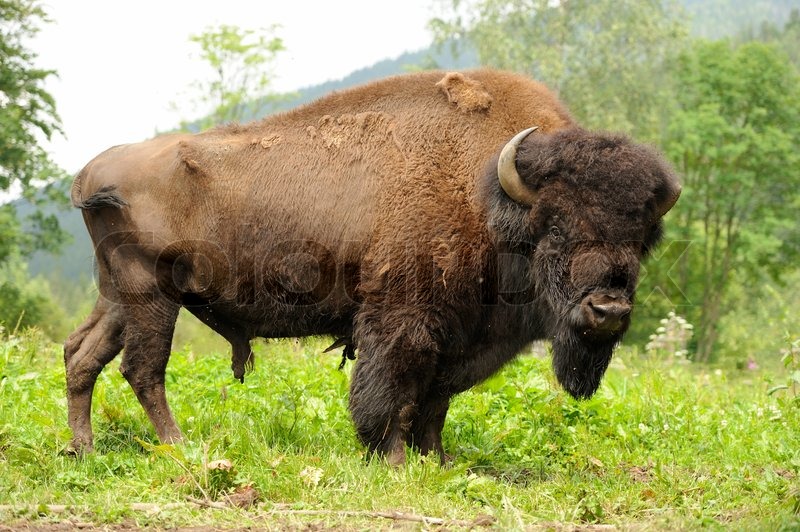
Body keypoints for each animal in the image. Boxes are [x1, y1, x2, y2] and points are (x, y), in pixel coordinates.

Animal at [64, 69, 680, 463]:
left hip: (117, 295)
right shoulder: (402, 321)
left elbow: (434, 402)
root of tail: (92, 171)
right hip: (152, 294)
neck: (489, 194)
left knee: (82, 354)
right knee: (143, 368)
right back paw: (179, 447)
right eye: (554, 227)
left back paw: (82, 450)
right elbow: (390, 394)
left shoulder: (459, 338)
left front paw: (437, 461)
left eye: (641, 238)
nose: (608, 309)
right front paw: (392, 460)